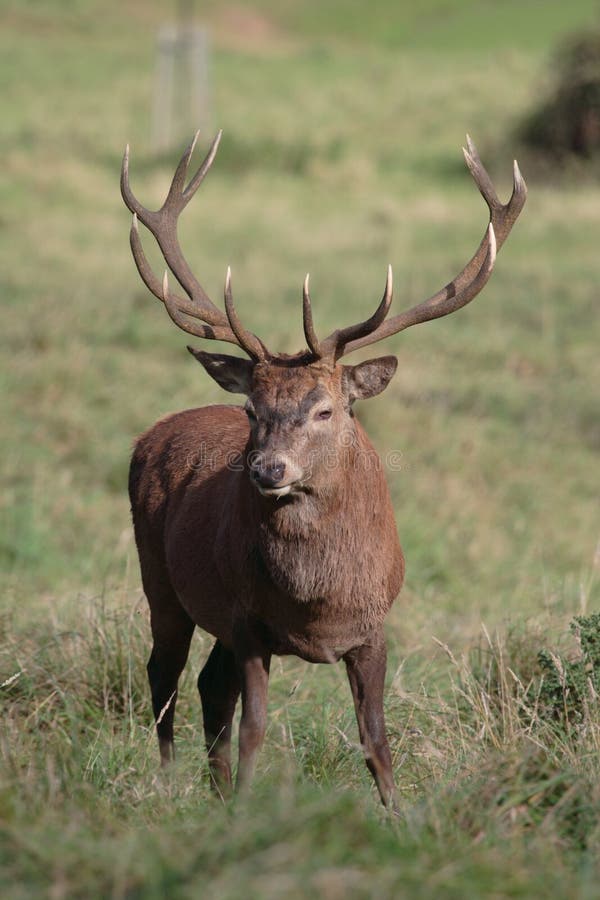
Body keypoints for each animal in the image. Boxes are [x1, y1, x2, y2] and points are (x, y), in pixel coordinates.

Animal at [121, 132, 526, 807]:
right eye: (252, 408)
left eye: (325, 408)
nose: (267, 469)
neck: (318, 602)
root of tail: (152, 434)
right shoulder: (248, 621)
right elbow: (255, 729)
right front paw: (245, 812)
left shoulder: (374, 626)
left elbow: (376, 739)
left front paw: (398, 815)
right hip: (161, 580)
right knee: (166, 679)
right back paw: (168, 785)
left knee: (207, 687)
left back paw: (213, 794)